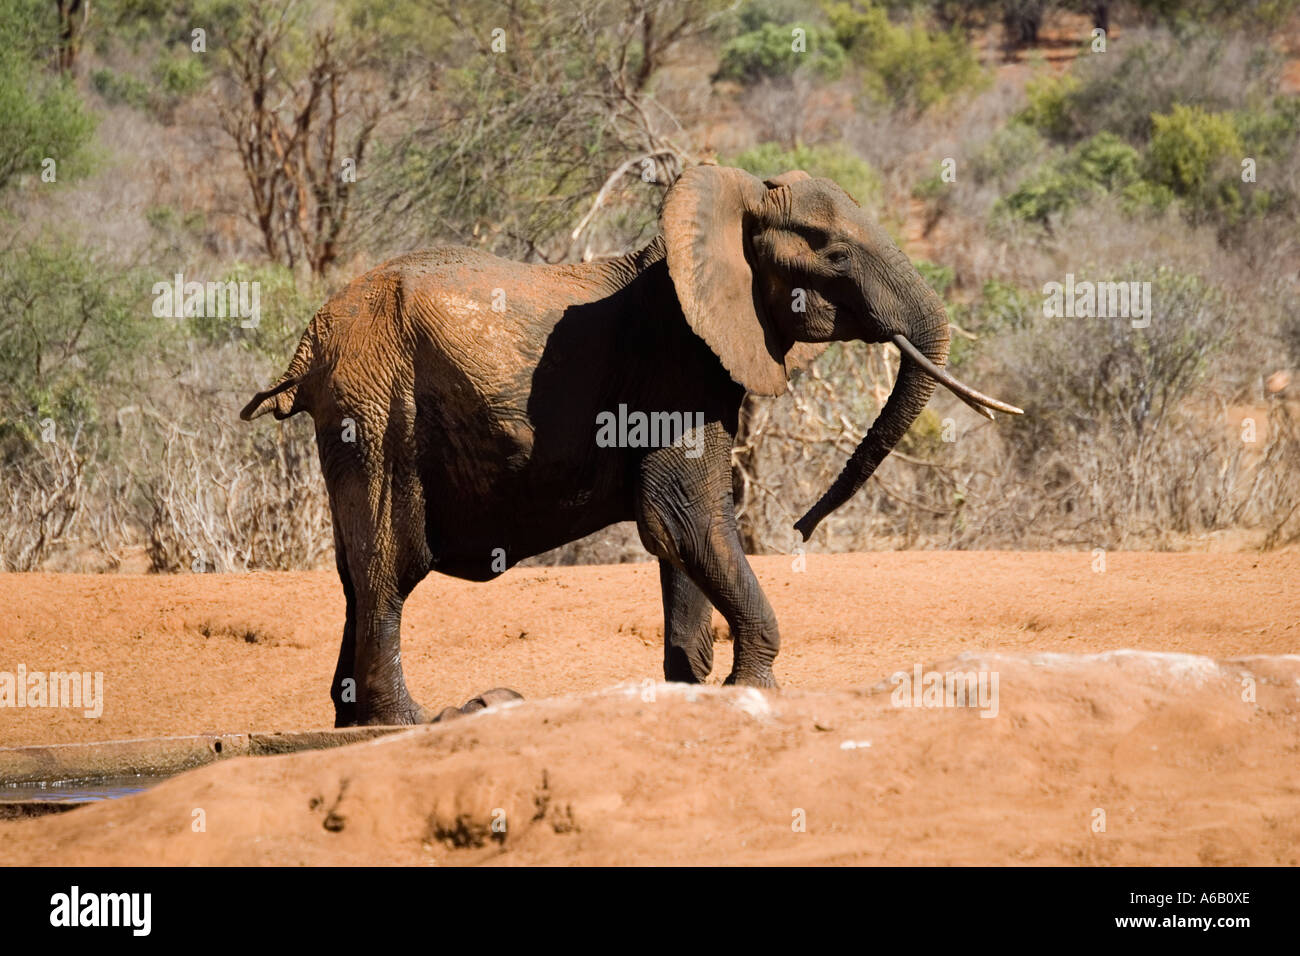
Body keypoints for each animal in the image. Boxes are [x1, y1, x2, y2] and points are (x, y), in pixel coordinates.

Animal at [242, 164, 1021, 727]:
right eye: (833, 254)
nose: (802, 528)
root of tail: (310, 340)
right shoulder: (676, 363)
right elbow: (684, 512)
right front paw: (752, 686)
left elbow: (683, 532)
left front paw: (692, 687)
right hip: (376, 400)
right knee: (390, 563)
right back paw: (414, 720)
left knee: (354, 569)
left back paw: (357, 722)